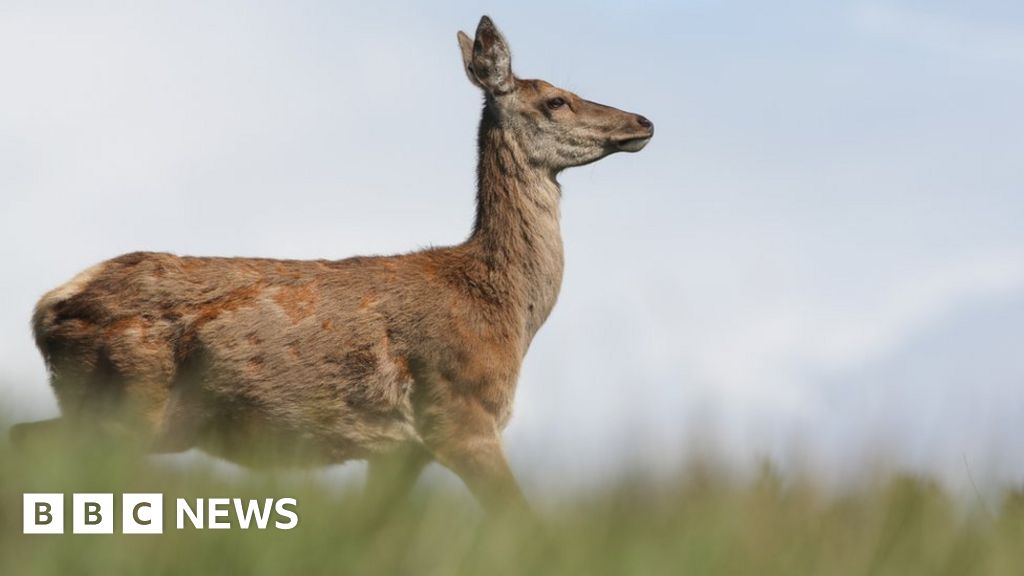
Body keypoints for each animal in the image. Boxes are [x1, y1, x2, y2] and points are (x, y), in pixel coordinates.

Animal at [10, 15, 653, 514]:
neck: (504, 307)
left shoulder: (402, 451)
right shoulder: (461, 414)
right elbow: (521, 523)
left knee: (21, 435)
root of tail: (48, 306)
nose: (642, 122)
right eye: (556, 99)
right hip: (125, 402)